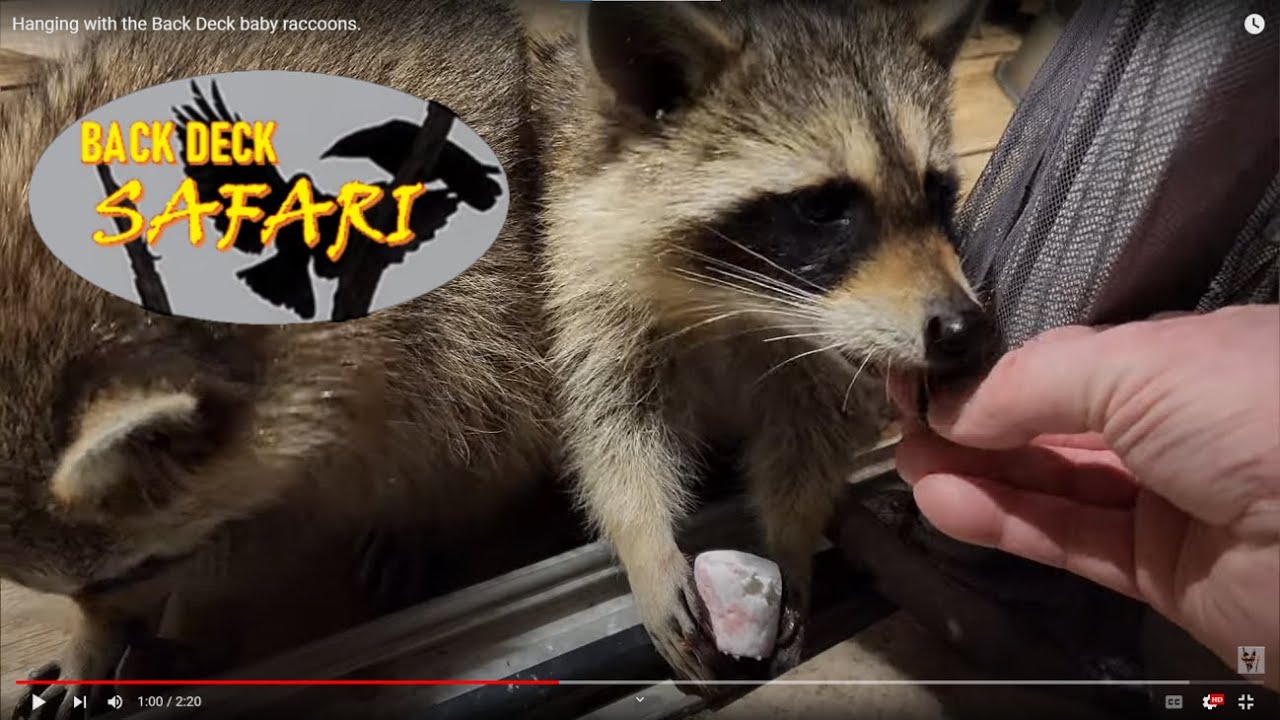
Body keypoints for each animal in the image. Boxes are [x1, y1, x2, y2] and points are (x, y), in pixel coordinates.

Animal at [530, 0, 997, 683]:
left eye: (937, 190)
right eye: (822, 207)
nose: (964, 329)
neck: (737, 305)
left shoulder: (815, 351)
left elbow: (807, 439)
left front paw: (792, 539)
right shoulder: (590, 281)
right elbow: (611, 423)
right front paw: (643, 538)